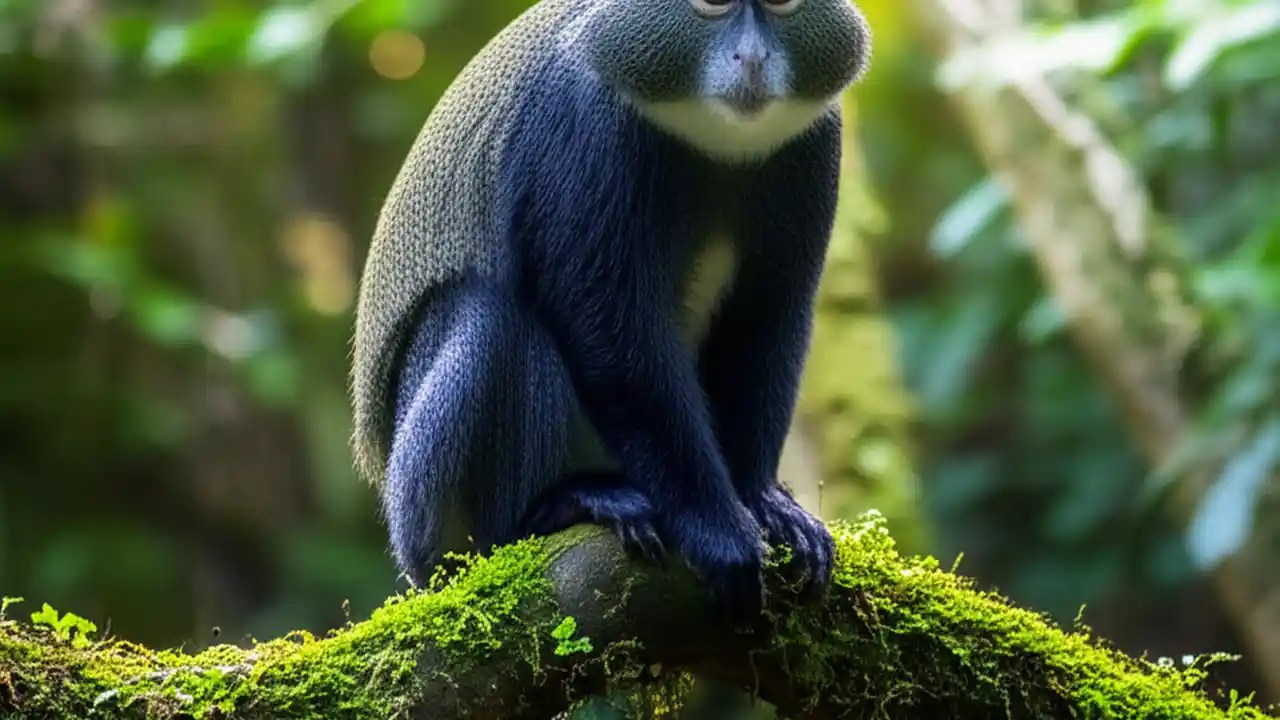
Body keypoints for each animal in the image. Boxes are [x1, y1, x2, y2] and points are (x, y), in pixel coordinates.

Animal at [351, 0, 870, 619]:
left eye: (781, 6)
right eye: (711, 6)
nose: (752, 57)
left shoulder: (814, 145)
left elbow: (767, 320)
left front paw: (763, 501)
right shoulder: (591, 129)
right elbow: (612, 334)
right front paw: (716, 531)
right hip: (424, 510)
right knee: (489, 320)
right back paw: (550, 510)